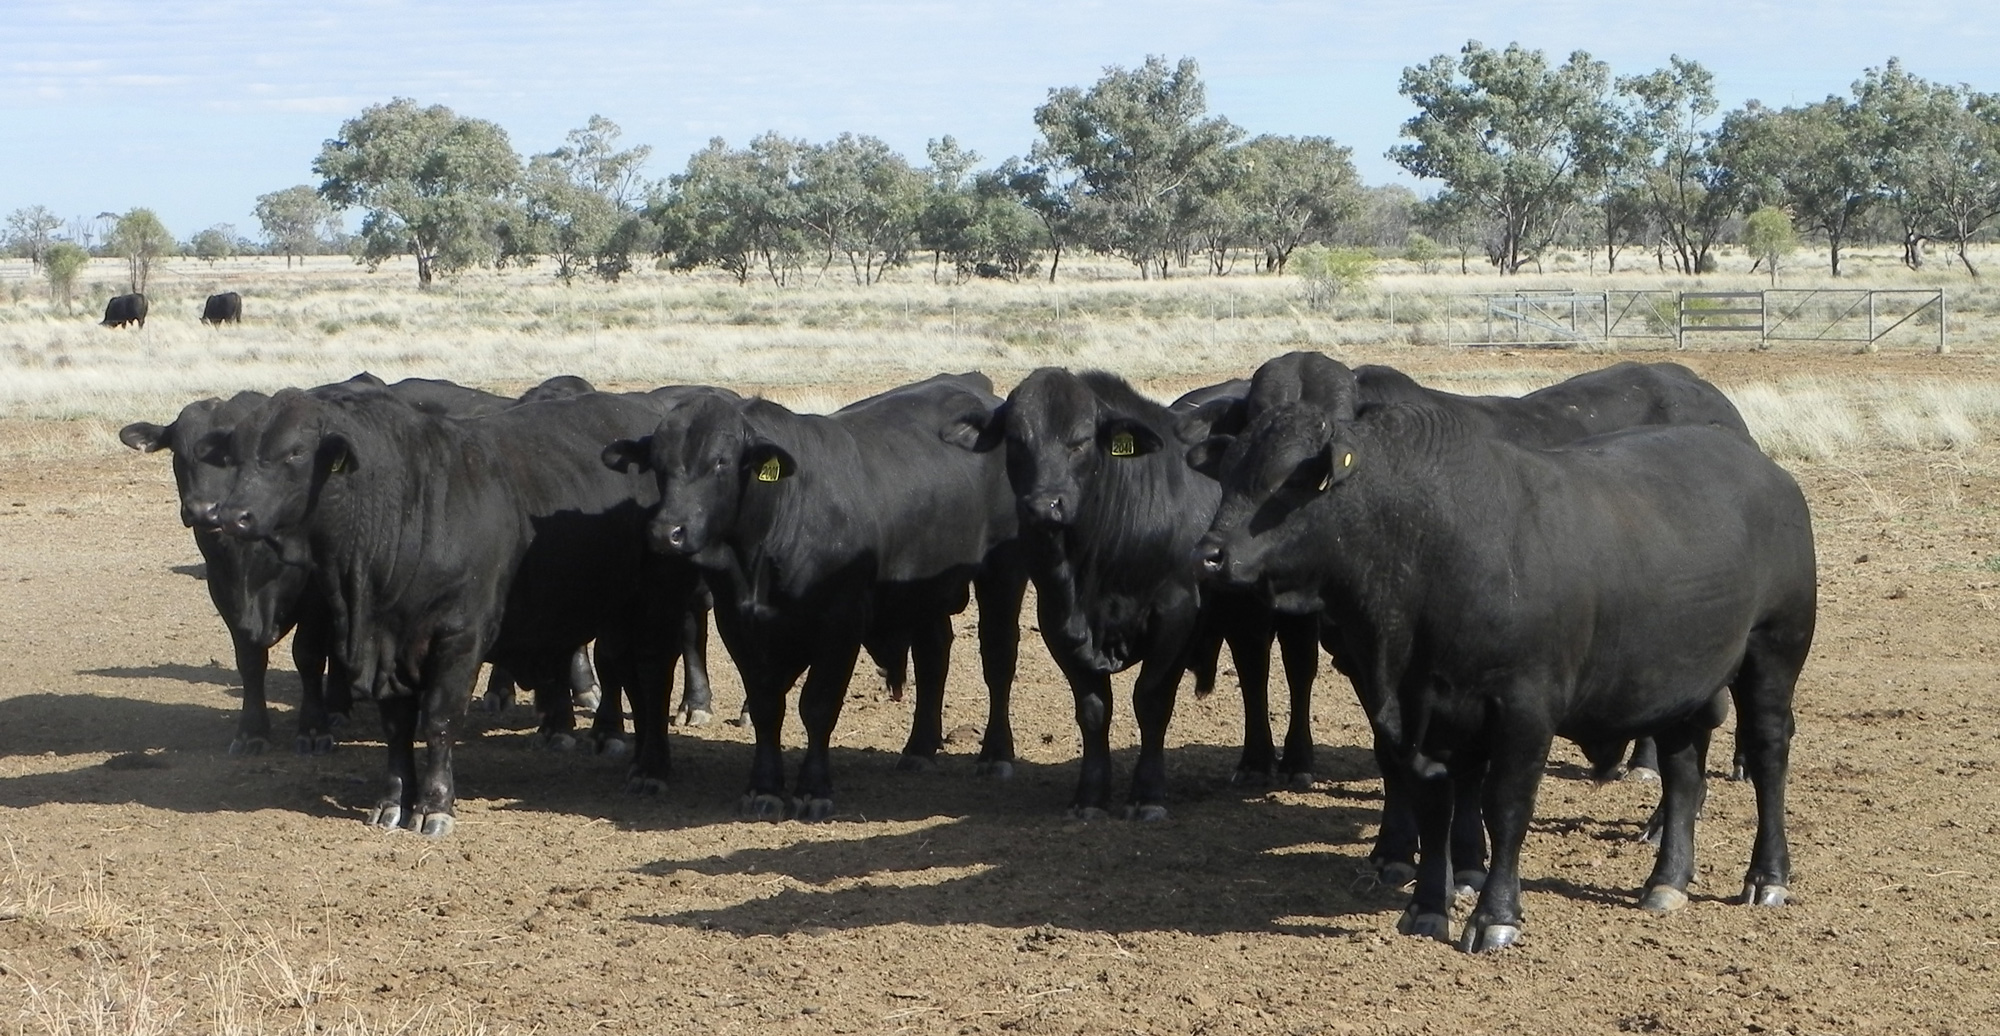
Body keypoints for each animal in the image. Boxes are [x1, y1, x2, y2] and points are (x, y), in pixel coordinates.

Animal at [206, 386, 701, 836]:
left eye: (294, 453)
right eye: (237, 456)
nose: (231, 515)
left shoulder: (460, 636)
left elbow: (440, 719)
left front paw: (434, 805)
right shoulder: (389, 649)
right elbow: (396, 726)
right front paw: (393, 800)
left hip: (657, 605)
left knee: (652, 677)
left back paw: (652, 769)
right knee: (626, 672)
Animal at [603, 374, 1026, 821]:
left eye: (720, 462)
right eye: (657, 463)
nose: (666, 532)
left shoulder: (840, 623)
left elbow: (818, 705)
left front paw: (813, 789)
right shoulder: (738, 624)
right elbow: (766, 705)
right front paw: (764, 787)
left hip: (1004, 571)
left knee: (998, 658)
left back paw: (995, 755)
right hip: (923, 592)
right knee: (933, 656)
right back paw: (919, 749)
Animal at [941, 369, 1323, 820]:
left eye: (1080, 440)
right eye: (1016, 439)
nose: (1043, 506)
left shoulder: (1177, 616)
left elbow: (1151, 701)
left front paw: (1147, 794)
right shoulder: (1057, 621)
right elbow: (1093, 709)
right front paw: (1089, 797)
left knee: (1299, 673)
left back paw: (1297, 763)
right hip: (1244, 617)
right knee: (1253, 673)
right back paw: (1254, 764)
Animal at [1189, 369, 1815, 952]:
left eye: (1291, 478)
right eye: (1230, 472)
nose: (1210, 554)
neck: (1433, 546)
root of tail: (1765, 468)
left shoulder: (1523, 709)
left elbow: (1505, 807)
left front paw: (1494, 916)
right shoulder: (1424, 711)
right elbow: (1434, 803)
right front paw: (1426, 908)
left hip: (1773, 653)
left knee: (1768, 753)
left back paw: (1767, 876)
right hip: (1681, 684)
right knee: (1683, 770)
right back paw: (1667, 880)